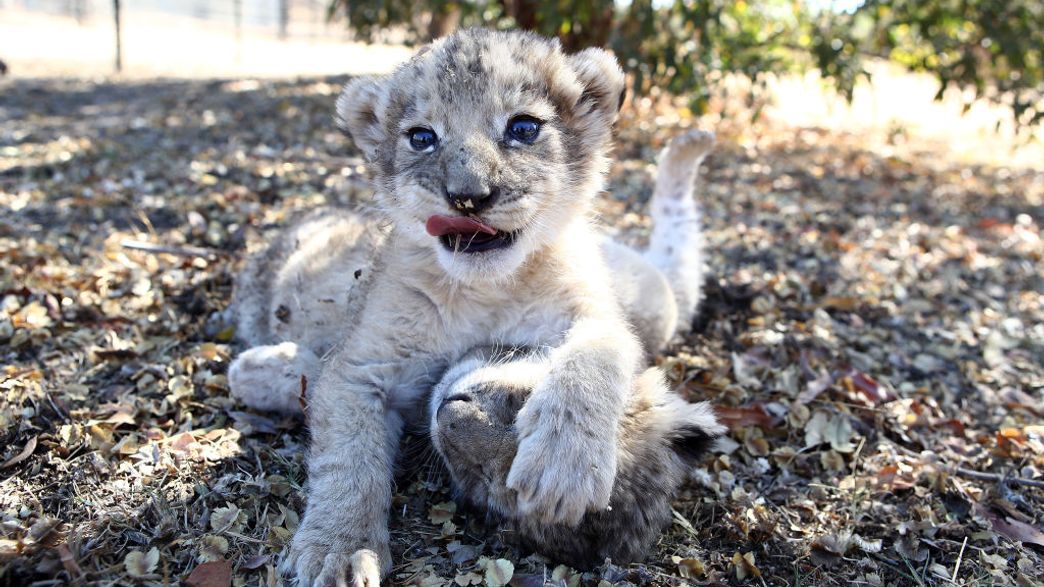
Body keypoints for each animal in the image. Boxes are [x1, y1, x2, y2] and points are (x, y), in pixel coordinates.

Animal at [228, 28, 717, 585]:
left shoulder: (599, 314)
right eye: (421, 137)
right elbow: (347, 458)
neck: (485, 290)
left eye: (524, 128)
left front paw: (563, 462)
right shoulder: (362, 366)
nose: (467, 197)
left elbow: (600, 354)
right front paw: (341, 549)